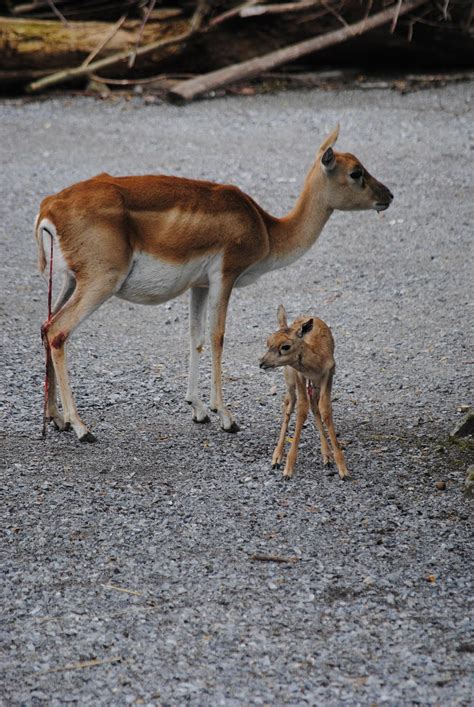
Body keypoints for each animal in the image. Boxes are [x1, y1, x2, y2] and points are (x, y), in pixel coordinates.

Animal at [35, 125, 392, 442]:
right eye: (356, 172)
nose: (388, 195)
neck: (266, 228)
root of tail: (49, 207)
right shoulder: (225, 274)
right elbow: (217, 336)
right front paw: (226, 416)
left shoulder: (200, 285)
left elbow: (195, 338)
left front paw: (198, 409)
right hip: (100, 282)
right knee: (59, 331)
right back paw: (81, 427)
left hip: (70, 280)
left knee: (45, 325)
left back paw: (56, 419)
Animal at [260, 305, 348, 480]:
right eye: (268, 342)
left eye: (285, 346)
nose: (262, 362)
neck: (315, 363)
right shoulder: (299, 374)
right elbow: (301, 409)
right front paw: (288, 468)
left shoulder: (328, 374)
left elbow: (325, 409)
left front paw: (342, 468)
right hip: (289, 377)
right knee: (289, 402)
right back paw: (276, 457)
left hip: (314, 384)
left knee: (313, 404)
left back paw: (326, 455)